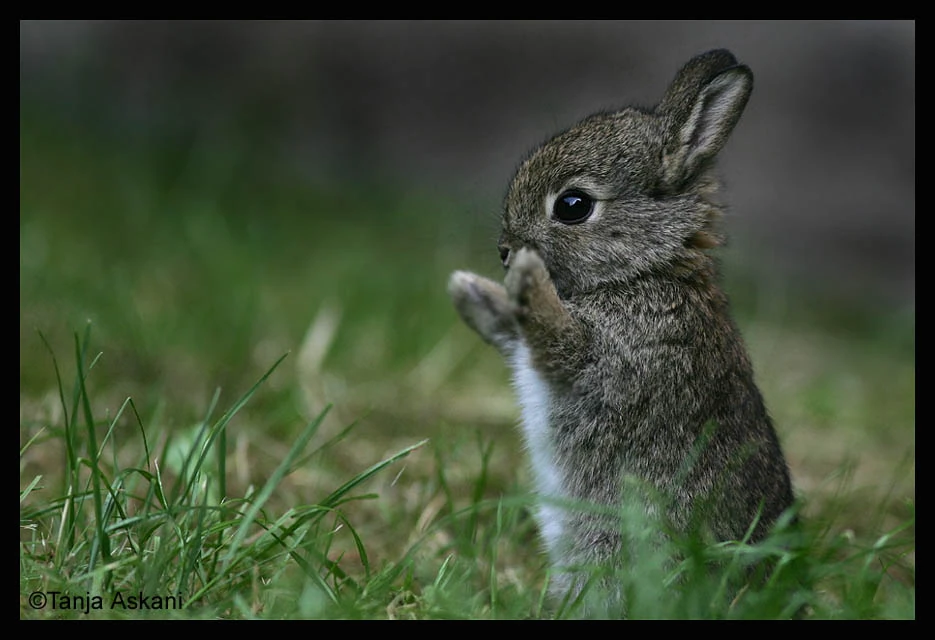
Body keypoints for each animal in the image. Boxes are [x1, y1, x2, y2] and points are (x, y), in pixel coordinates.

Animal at [447, 49, 795, 613]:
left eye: (572, 205)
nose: (504, 250)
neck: (644, 271)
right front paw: (469, 290)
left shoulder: (613, 361)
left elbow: (557, 339)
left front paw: (526, 278)